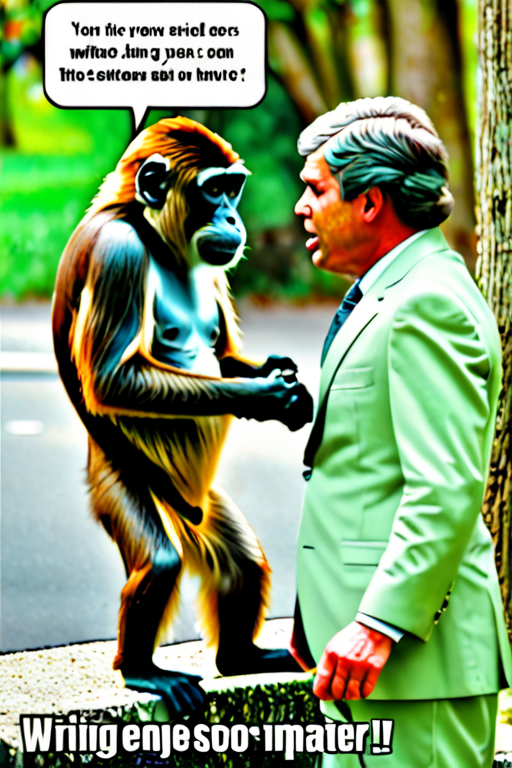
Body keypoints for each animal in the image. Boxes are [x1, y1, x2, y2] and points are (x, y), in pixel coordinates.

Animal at [52, 118, 313, 715]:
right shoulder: (118, 254)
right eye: (214, 190)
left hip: (202, 504)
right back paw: (142, 670)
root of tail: (184, 503)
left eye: (233, 189)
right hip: (123, 478)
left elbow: (220, 353)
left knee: (243, 559)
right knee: (162, 560)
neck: (155, 238)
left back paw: (242, 657)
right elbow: (111, 380)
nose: (233, 218)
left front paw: (284, 380)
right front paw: (267, 392)